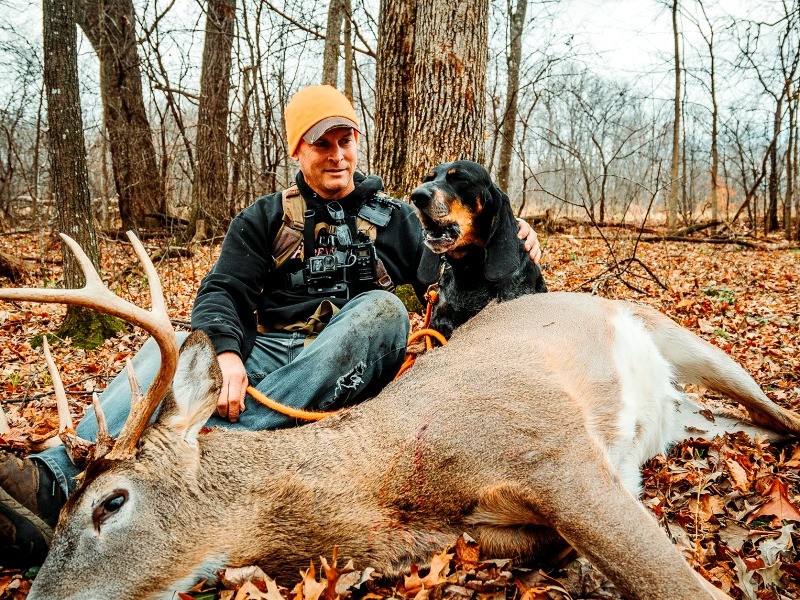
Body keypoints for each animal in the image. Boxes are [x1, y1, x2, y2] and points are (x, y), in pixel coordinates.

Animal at [2, 233, 800, 600]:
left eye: (111, 502)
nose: (40, 598)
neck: (392, 476)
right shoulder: (490, 529)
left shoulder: (551, 448)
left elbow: (677, 584)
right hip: (686, 411)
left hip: (676, 333)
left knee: (781, 411)